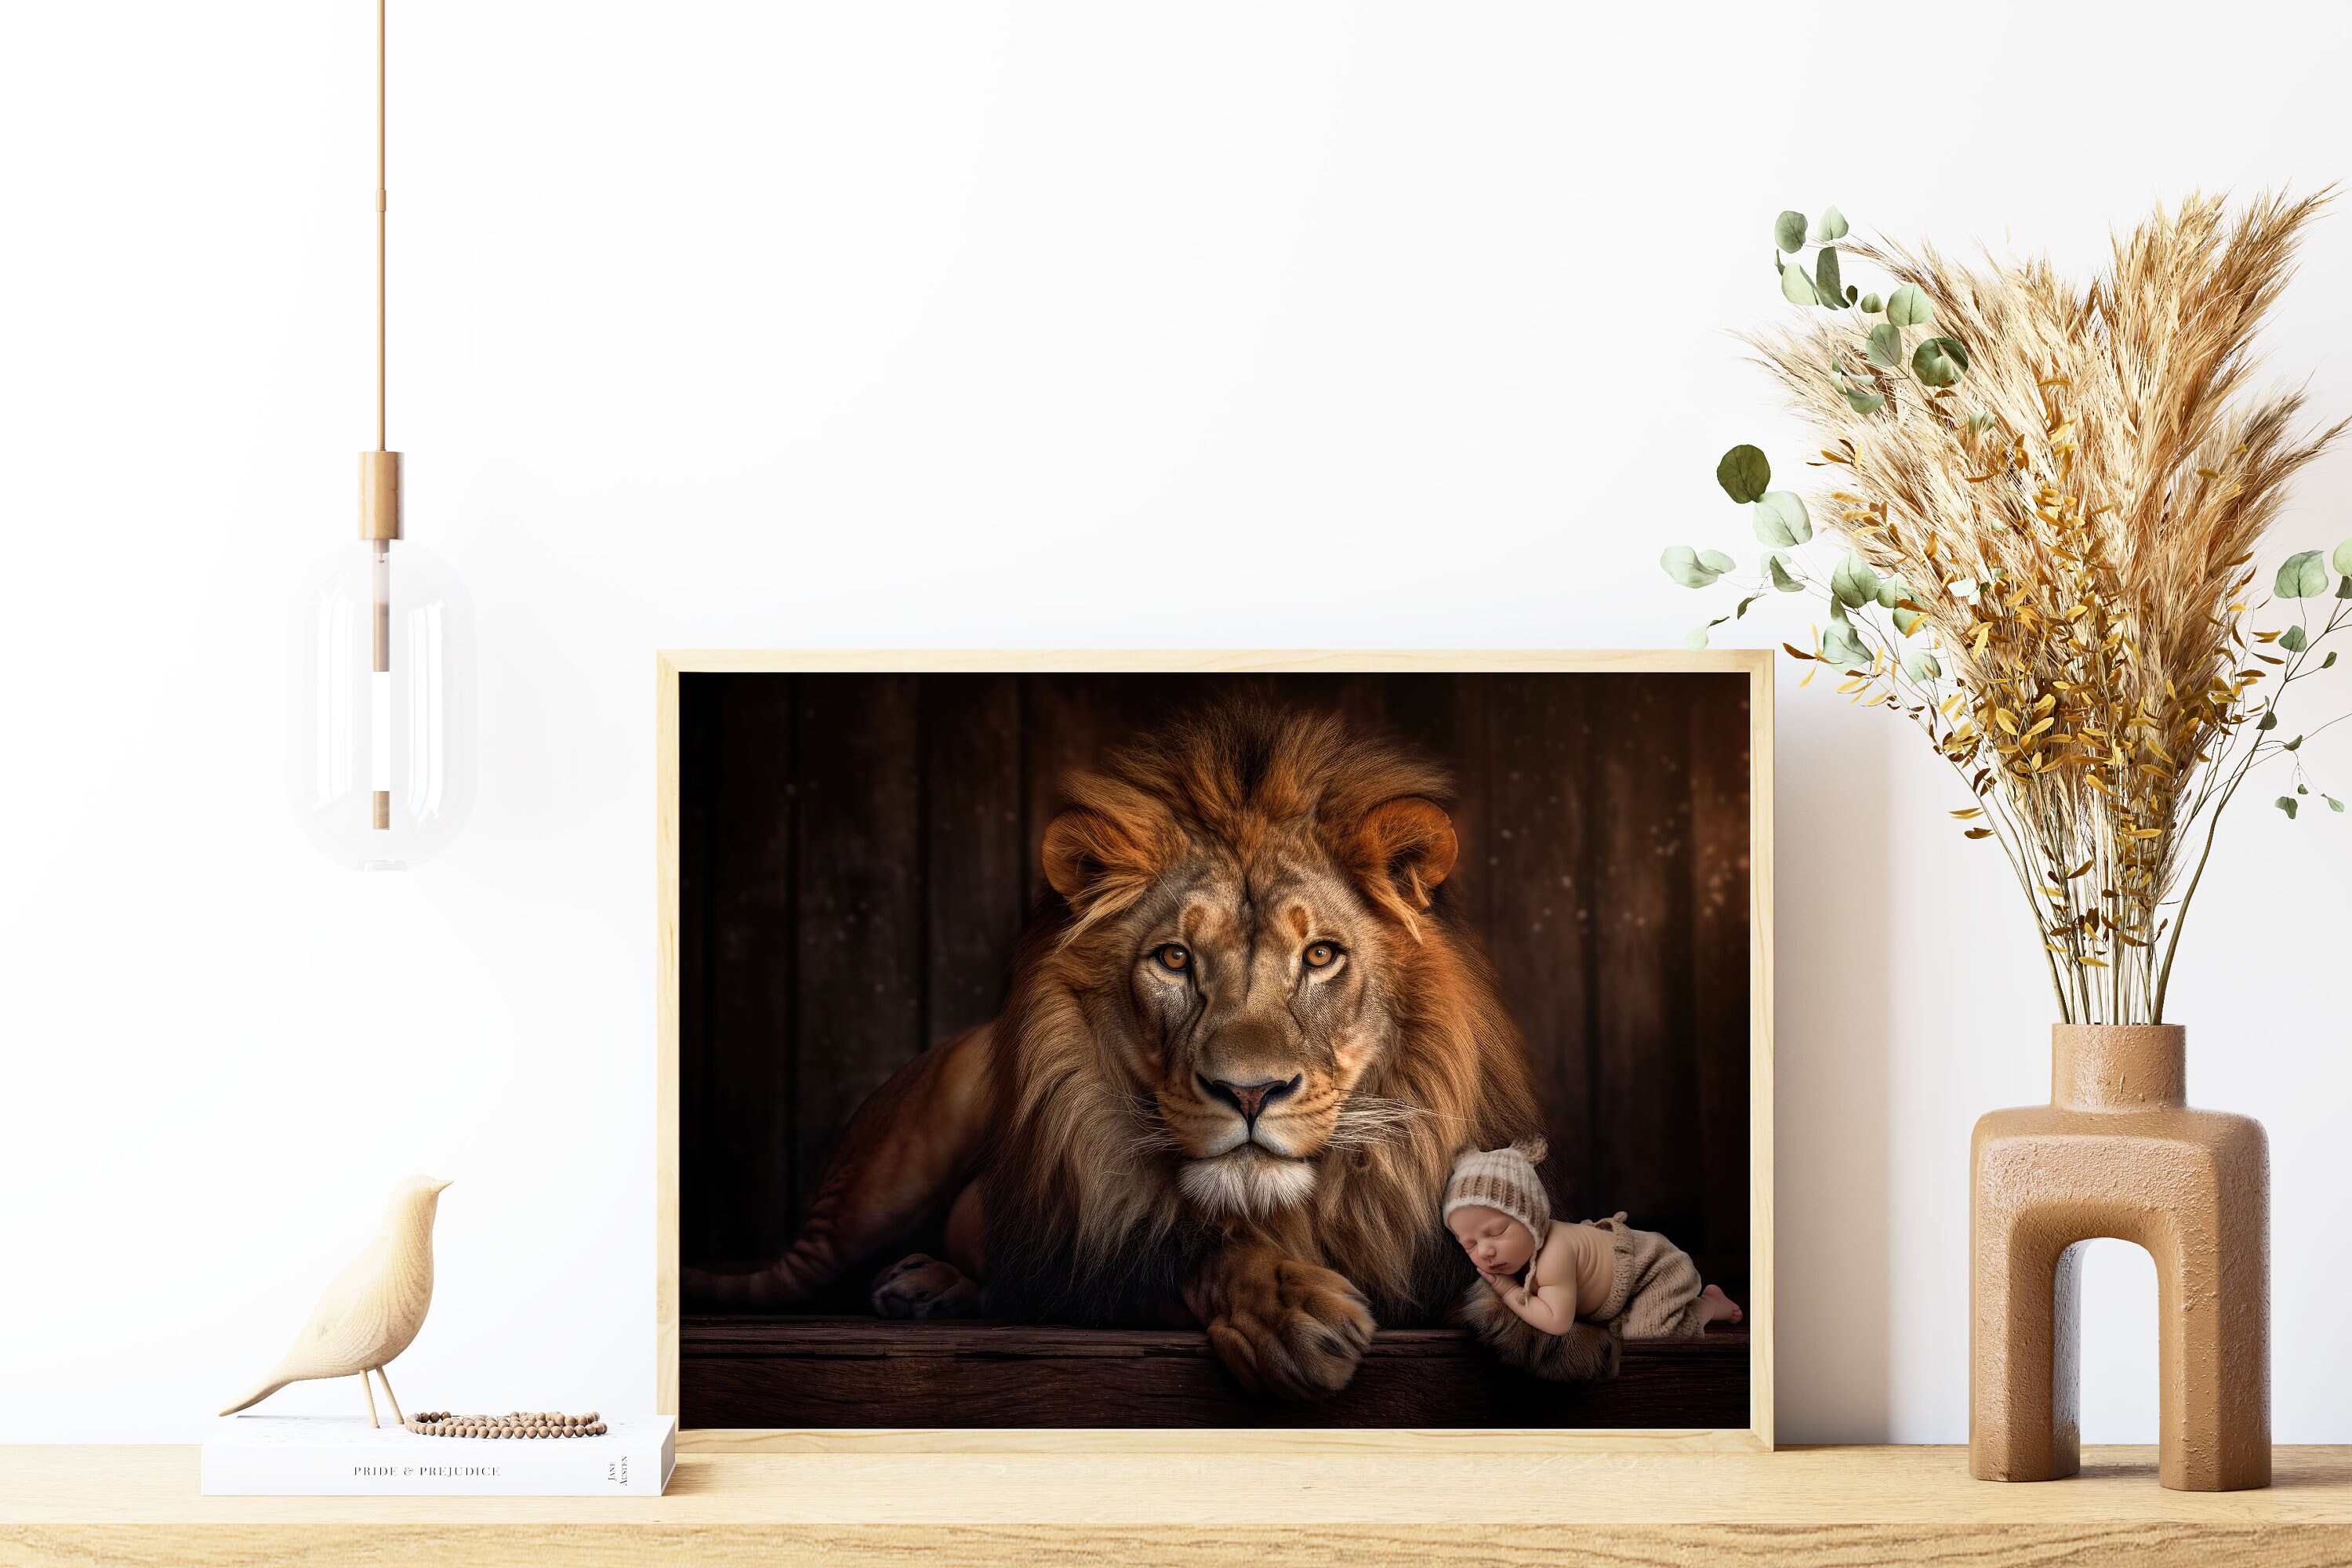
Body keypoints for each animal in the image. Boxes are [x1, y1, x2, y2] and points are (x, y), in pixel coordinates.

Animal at [685, 696, 1618, 1397]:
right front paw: (1290, 1312)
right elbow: (1194, 1250)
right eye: (1174, 959)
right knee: (793, 1269)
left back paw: (926, 1286)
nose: (1250, 1093)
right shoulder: (1090, 1252)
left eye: (1321, 956)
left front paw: (1557, 1308)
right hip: (901, 1156)